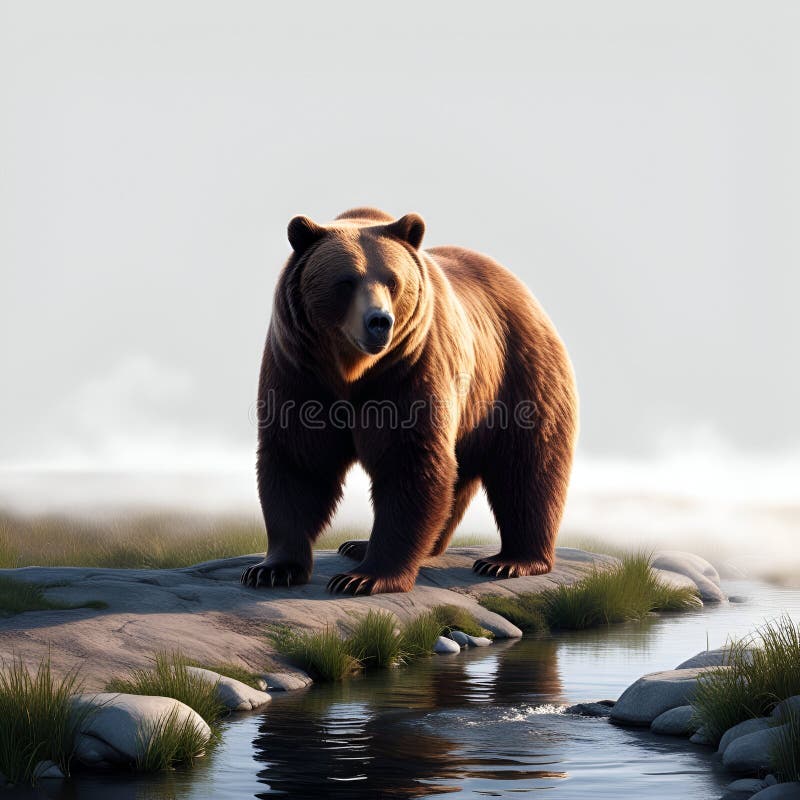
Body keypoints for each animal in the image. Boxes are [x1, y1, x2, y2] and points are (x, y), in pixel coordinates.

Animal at [240, 207, 578, 595]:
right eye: (346, 281)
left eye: (392, 281)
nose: (379, 321)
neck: (351, 373)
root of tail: (523, 291)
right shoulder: (299, 371)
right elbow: (299, 460)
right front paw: (272, 569)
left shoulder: (409, 370)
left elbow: (411, 461)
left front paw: (364, 578)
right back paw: (359, 544)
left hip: (516, 374)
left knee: (528, 469)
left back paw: (510, 561)